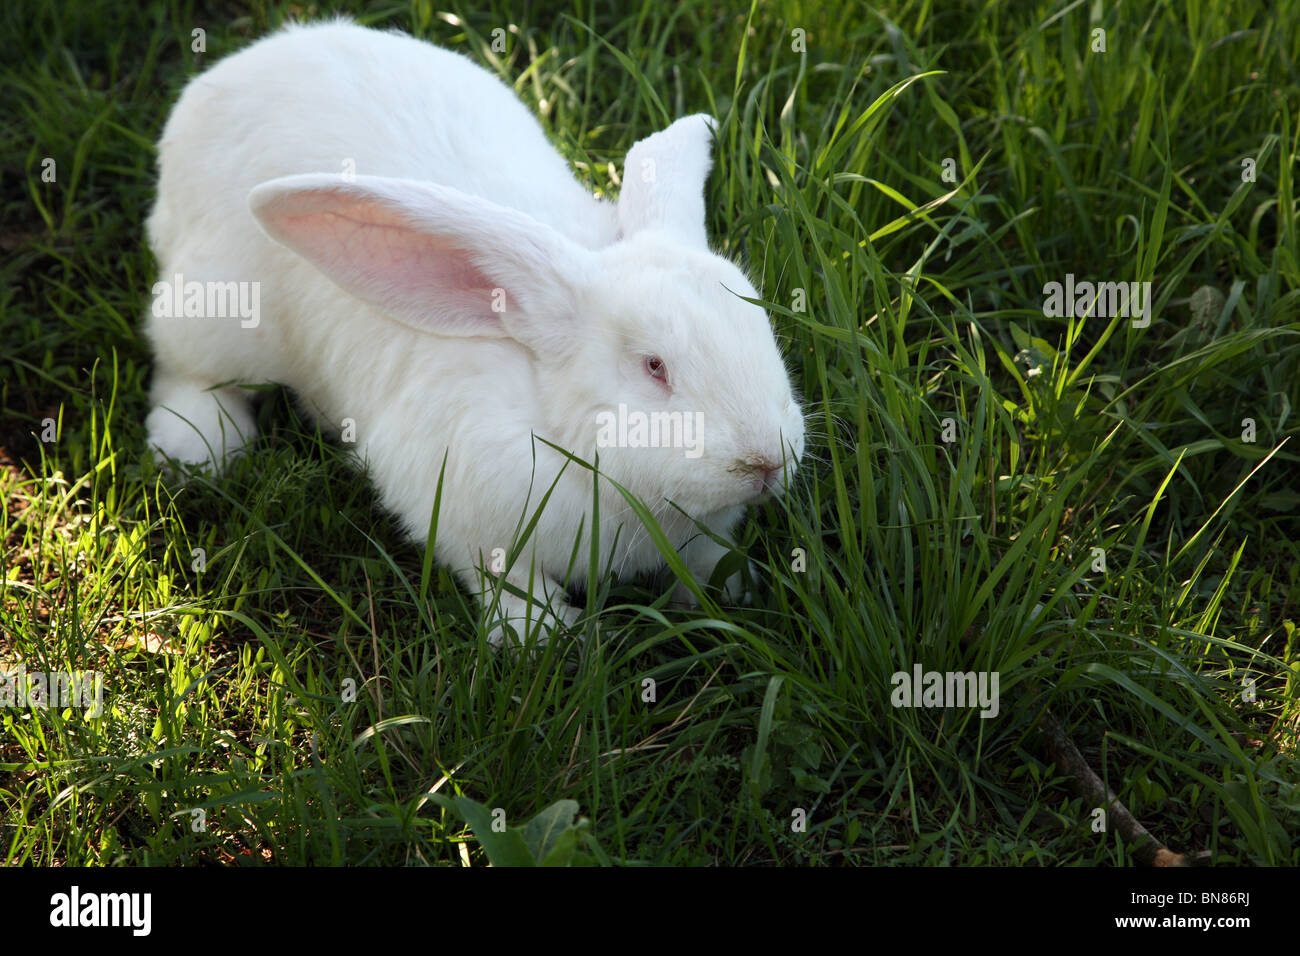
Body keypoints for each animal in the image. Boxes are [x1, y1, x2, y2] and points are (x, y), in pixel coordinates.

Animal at [144, 18, 805, 645]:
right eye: (653, 367)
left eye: (760, 326)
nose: (766, 461)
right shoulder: (468, 517)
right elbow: (504, 580)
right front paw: (542, 636)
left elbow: (707, 557)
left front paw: (734, 590)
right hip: (221, 312)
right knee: (181, 364)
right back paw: (197, 444)